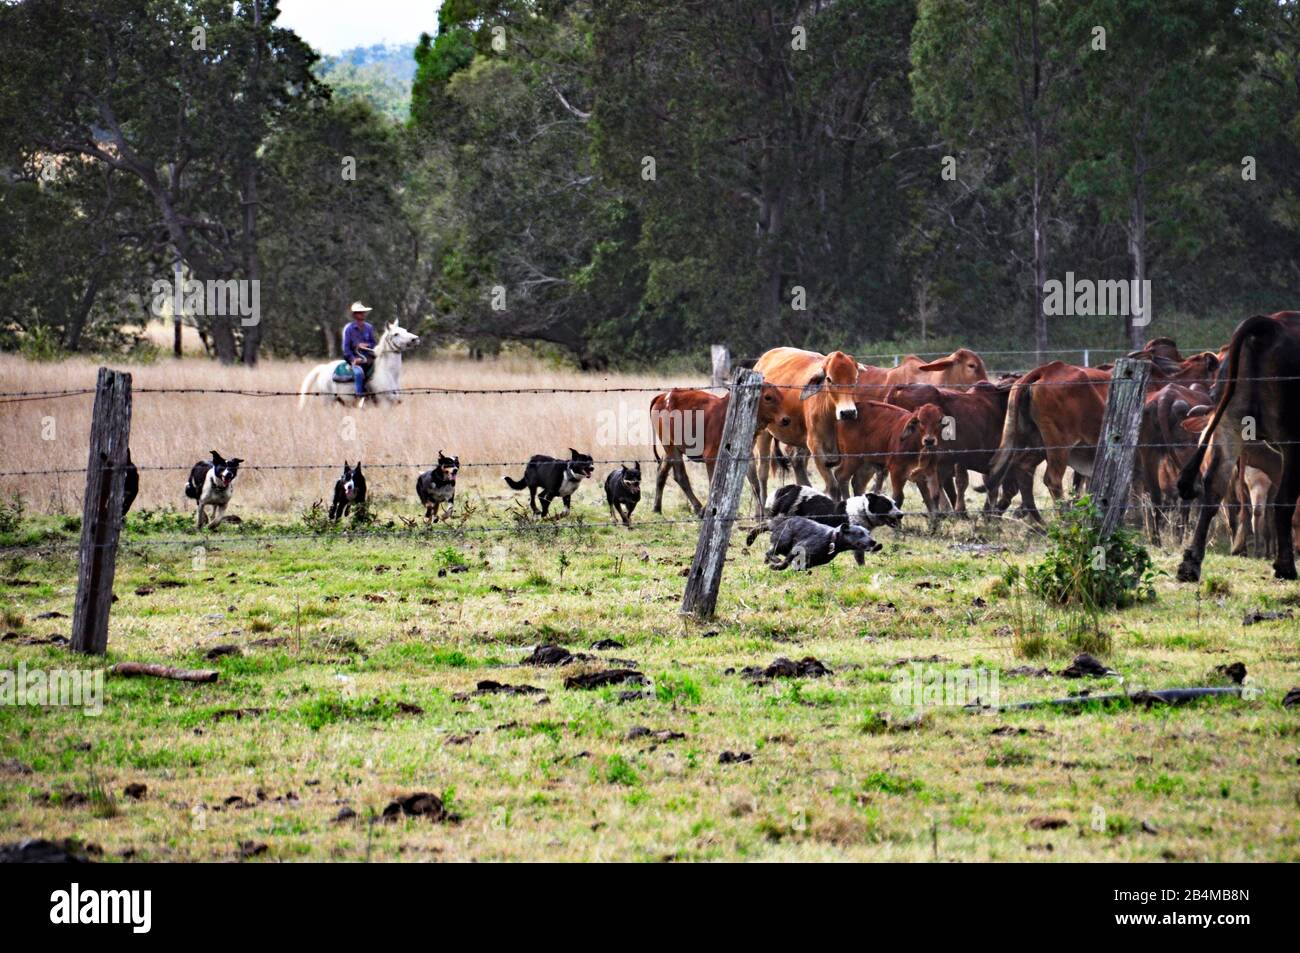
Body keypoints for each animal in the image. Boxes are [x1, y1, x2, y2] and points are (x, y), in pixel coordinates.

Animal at [650, 383, 788, 515]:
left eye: (781, 396)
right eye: (768, 397)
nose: (786, 419)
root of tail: (662, 396)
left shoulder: (747, 456)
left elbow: (755, 484)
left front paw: (760, 514)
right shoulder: (711, 457)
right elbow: (713, 485)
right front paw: (708, 510)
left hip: (671, 448)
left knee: (662, 471)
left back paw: (657, 508)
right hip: (670, 446)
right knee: (680, 476)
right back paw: (698, 507)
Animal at [1177, 311, 1300, 581]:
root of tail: (1271, 324)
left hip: (1228, 424)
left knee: (1214, 488)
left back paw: (1191, 564)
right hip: (1292, 442)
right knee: (1283, 502)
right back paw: (1285, 566)